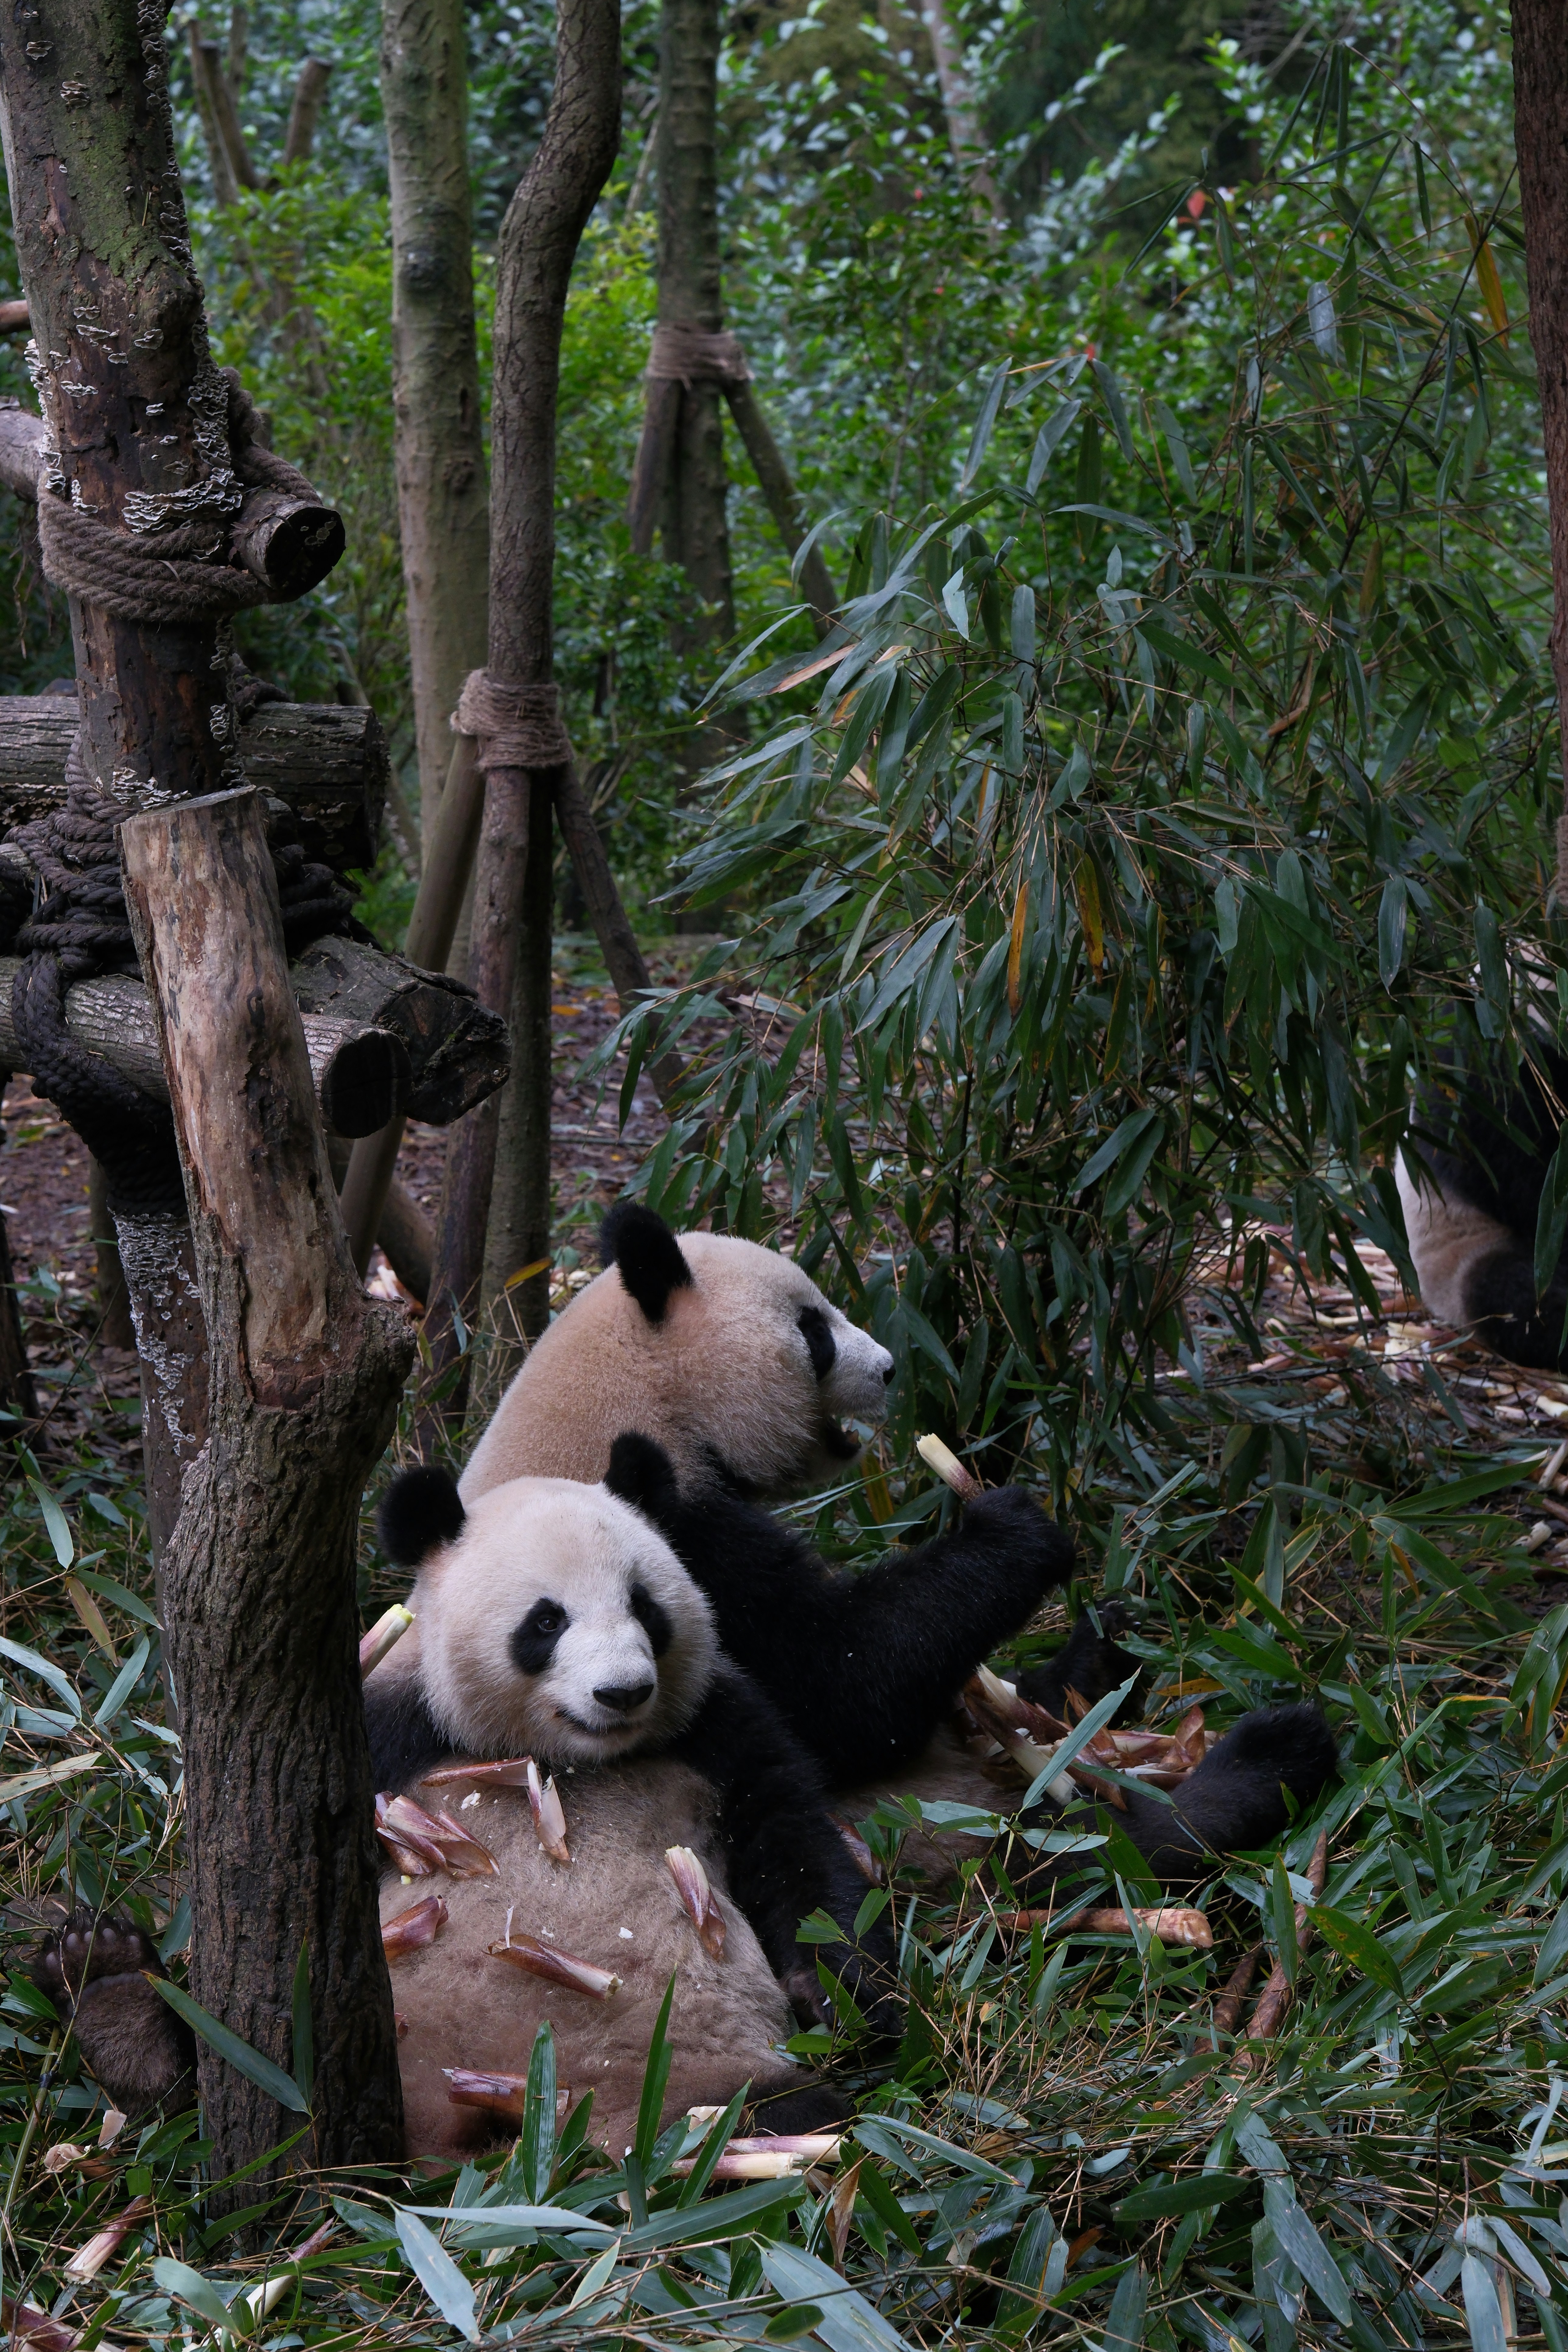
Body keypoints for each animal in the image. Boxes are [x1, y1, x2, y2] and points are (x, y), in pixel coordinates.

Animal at [367, 1464, 896, 2159]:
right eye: (546, 1621)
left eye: (644, 1605)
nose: (622, 1692)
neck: (566, 1760)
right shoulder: (398, 1730)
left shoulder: (715, 1728)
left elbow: (791, 1842)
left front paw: (843, 1998)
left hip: (680, 2054)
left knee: (752, 2113)